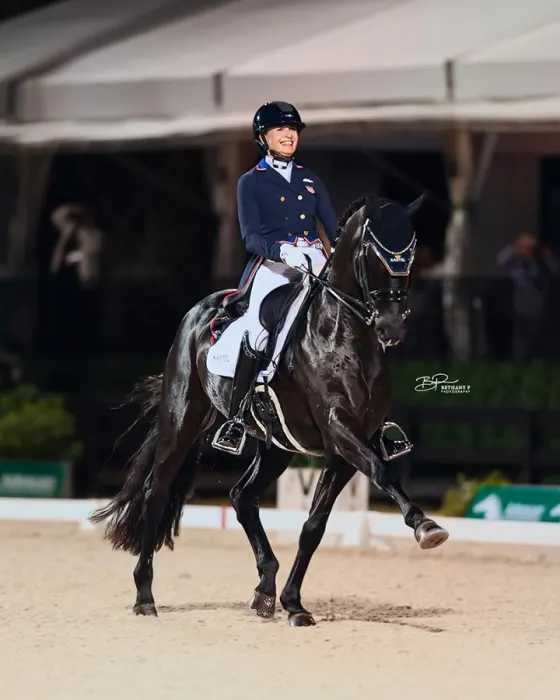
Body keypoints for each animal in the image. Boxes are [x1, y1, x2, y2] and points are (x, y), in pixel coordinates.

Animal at [90, 189, 449, 627]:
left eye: (410, 252)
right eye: (371, 251)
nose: (392, 328)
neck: (346, 336)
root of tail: (200, 310)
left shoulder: (344, 448)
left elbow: (314, 526)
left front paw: (294, 604)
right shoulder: (340, 429)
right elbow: (383, 470)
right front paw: (425, 525)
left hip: (276, 447)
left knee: (242, 497)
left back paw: (265, 589)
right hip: (182, 421)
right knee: (156, 493)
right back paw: (145, 597)